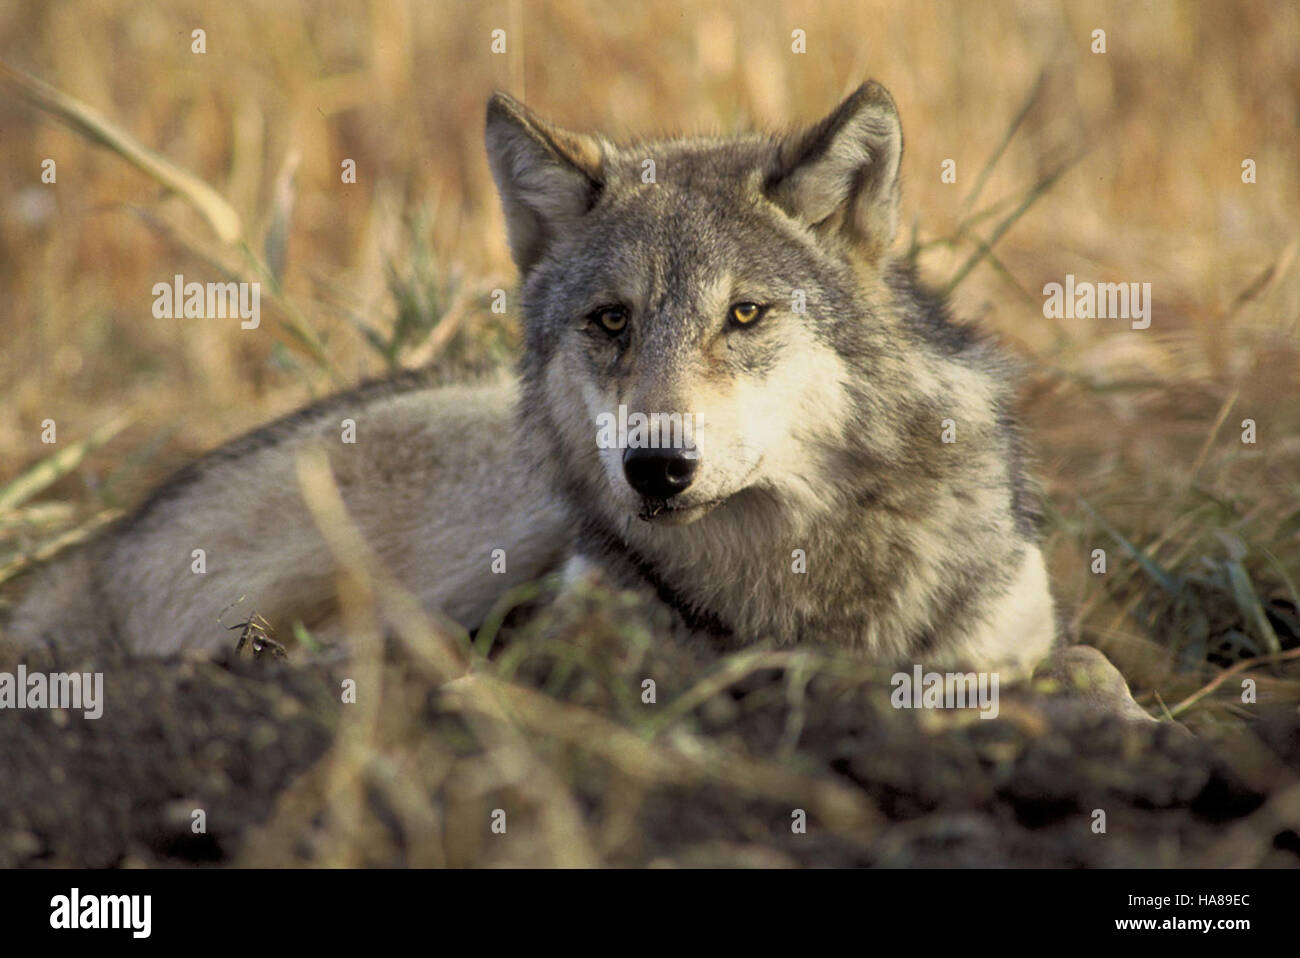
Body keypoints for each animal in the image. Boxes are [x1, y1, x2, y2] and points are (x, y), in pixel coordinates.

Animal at [6, 81, 1149, 715]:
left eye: (744, 315)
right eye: (611, 321)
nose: (656, 466)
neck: (797, 583)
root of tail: (99, 546)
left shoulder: (1003, 629)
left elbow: (1094, 668)